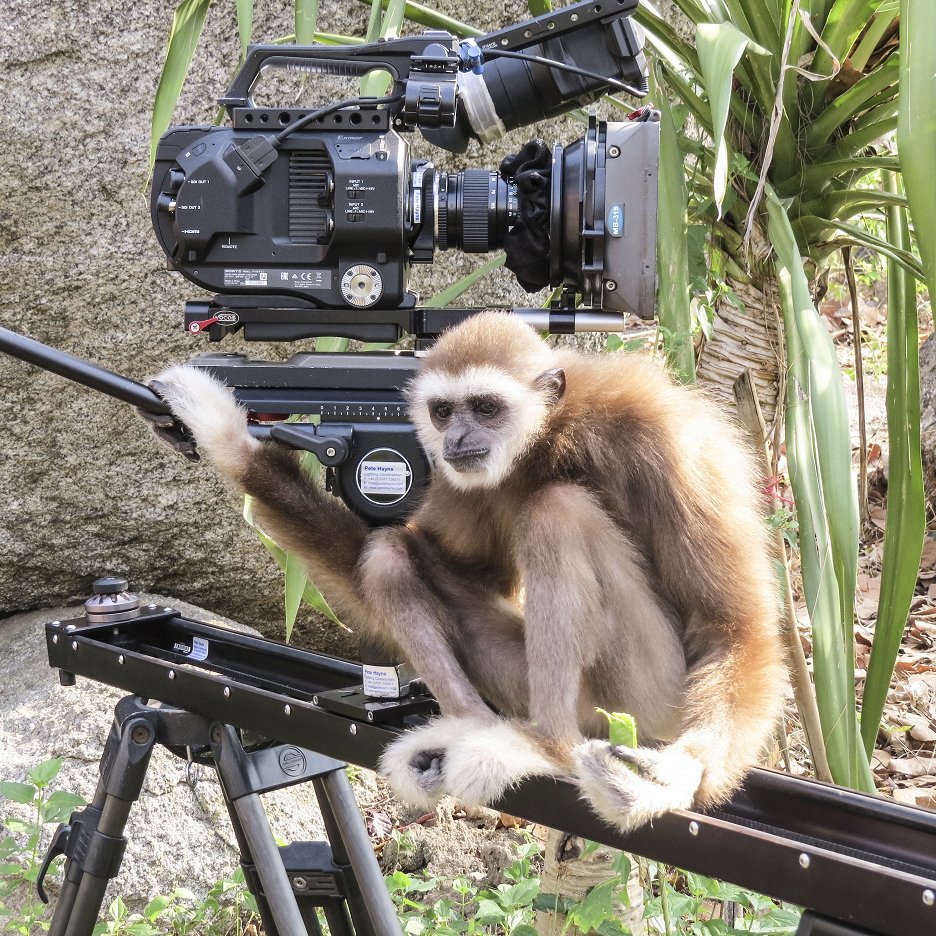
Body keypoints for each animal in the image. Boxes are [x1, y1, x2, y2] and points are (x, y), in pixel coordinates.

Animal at [148, 311, 784, 833]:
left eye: (484, 406)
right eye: (443, 410)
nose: (456, 435)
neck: (553, 438)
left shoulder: (674, 445)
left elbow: (733, 626)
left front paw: (676, 776)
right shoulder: (455, 477)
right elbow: (392, 557)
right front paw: (225, 436)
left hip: (647, 699)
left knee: (557, 511)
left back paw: (547, 748)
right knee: (389, 553)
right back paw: (468, 727)